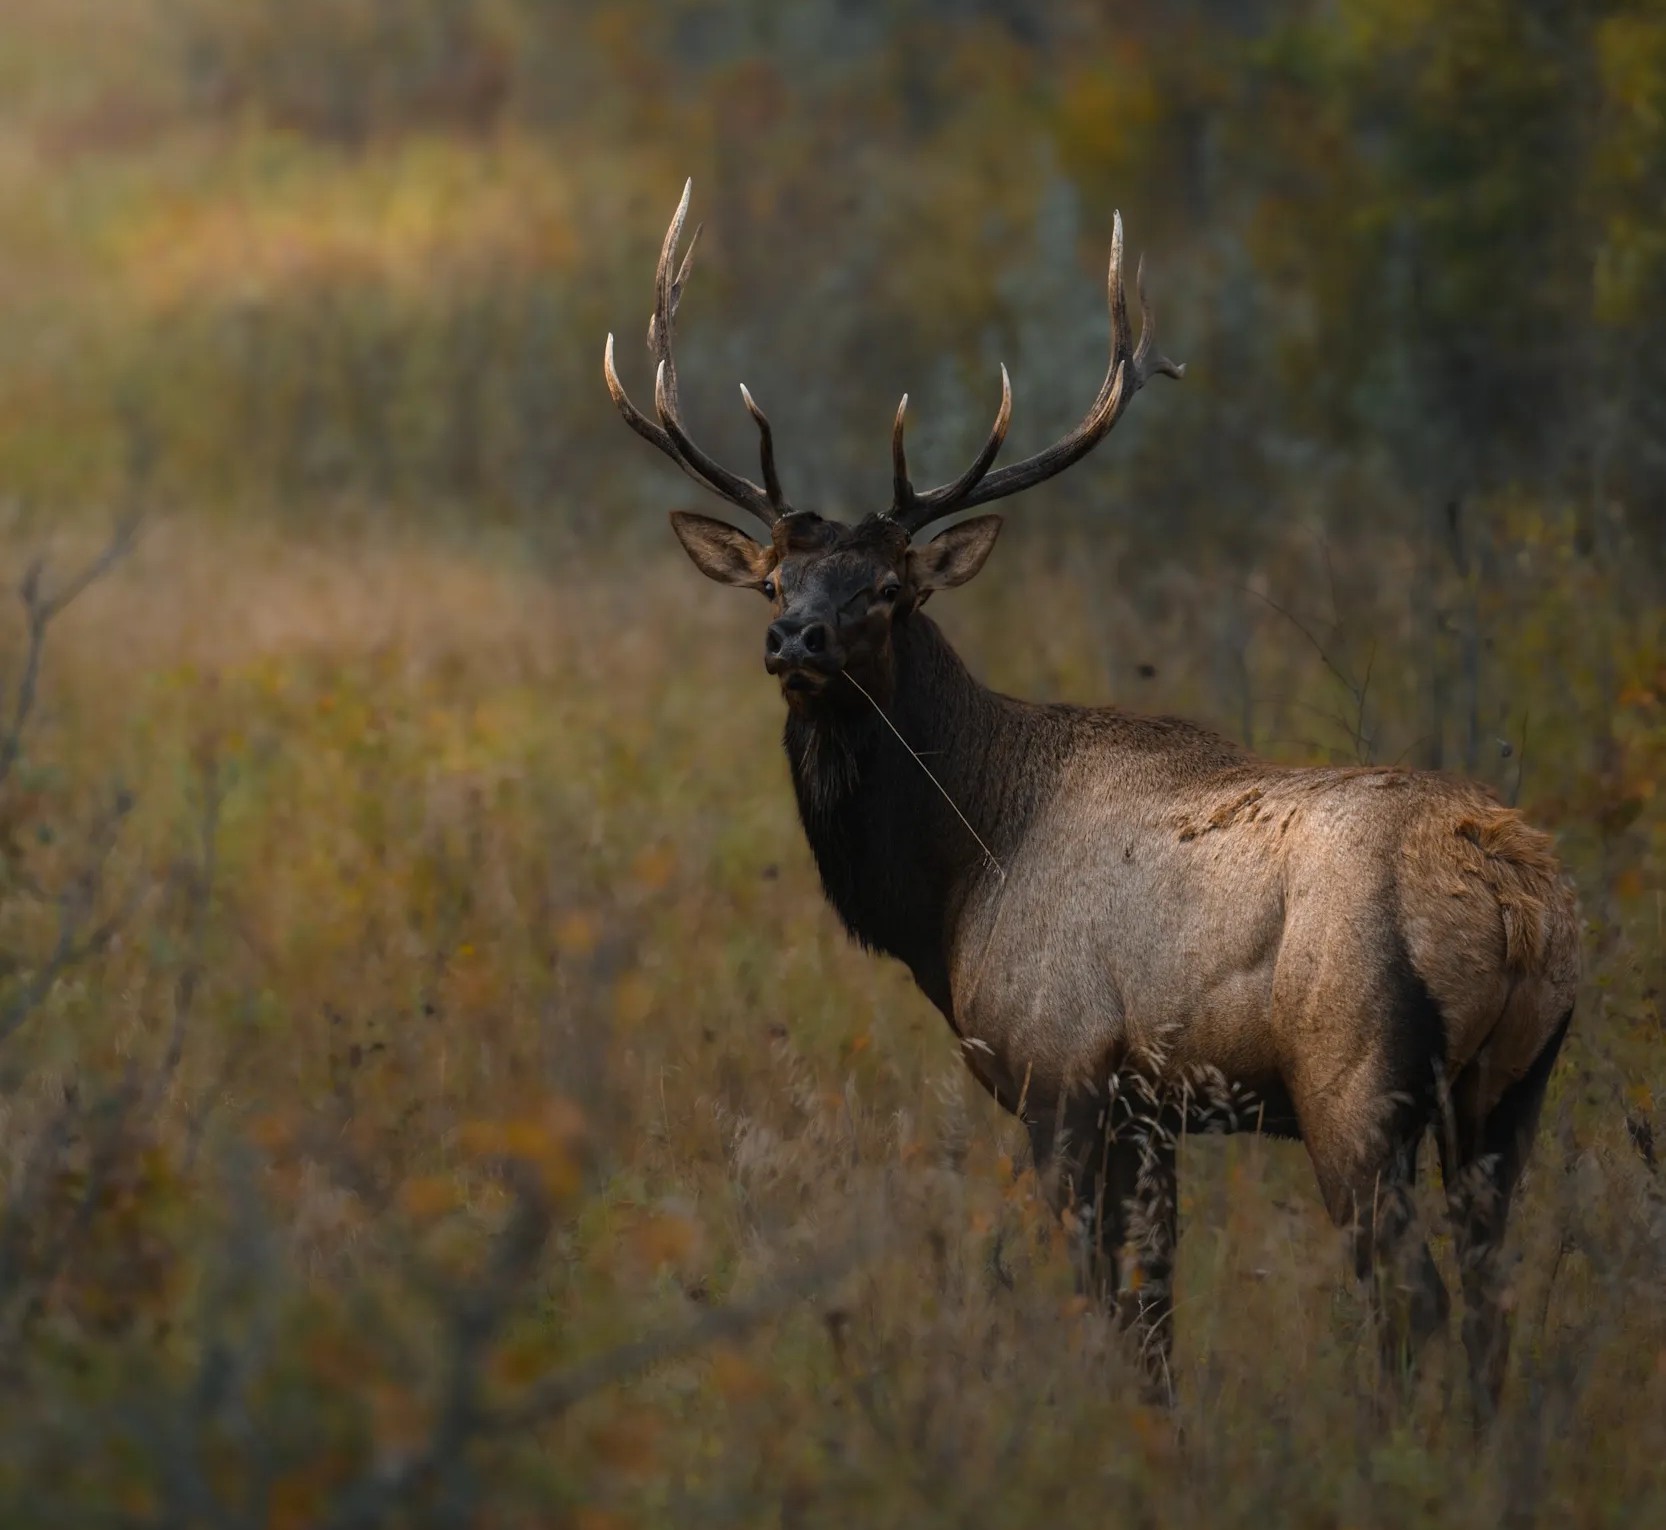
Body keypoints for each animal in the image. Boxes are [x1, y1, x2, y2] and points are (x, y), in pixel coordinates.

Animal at [604, 181, 1581, 1418]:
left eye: (889, 589)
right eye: (776, 581)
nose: (797, 641)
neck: (955, 880)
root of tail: (1518, 901)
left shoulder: (1058, 1073)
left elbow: (1098, 1297)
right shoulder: (1149, 1110)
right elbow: (1155, 1311)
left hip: (1356, 1079)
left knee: (1413, 1297)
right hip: (1514, 1090)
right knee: (1492, 1294)